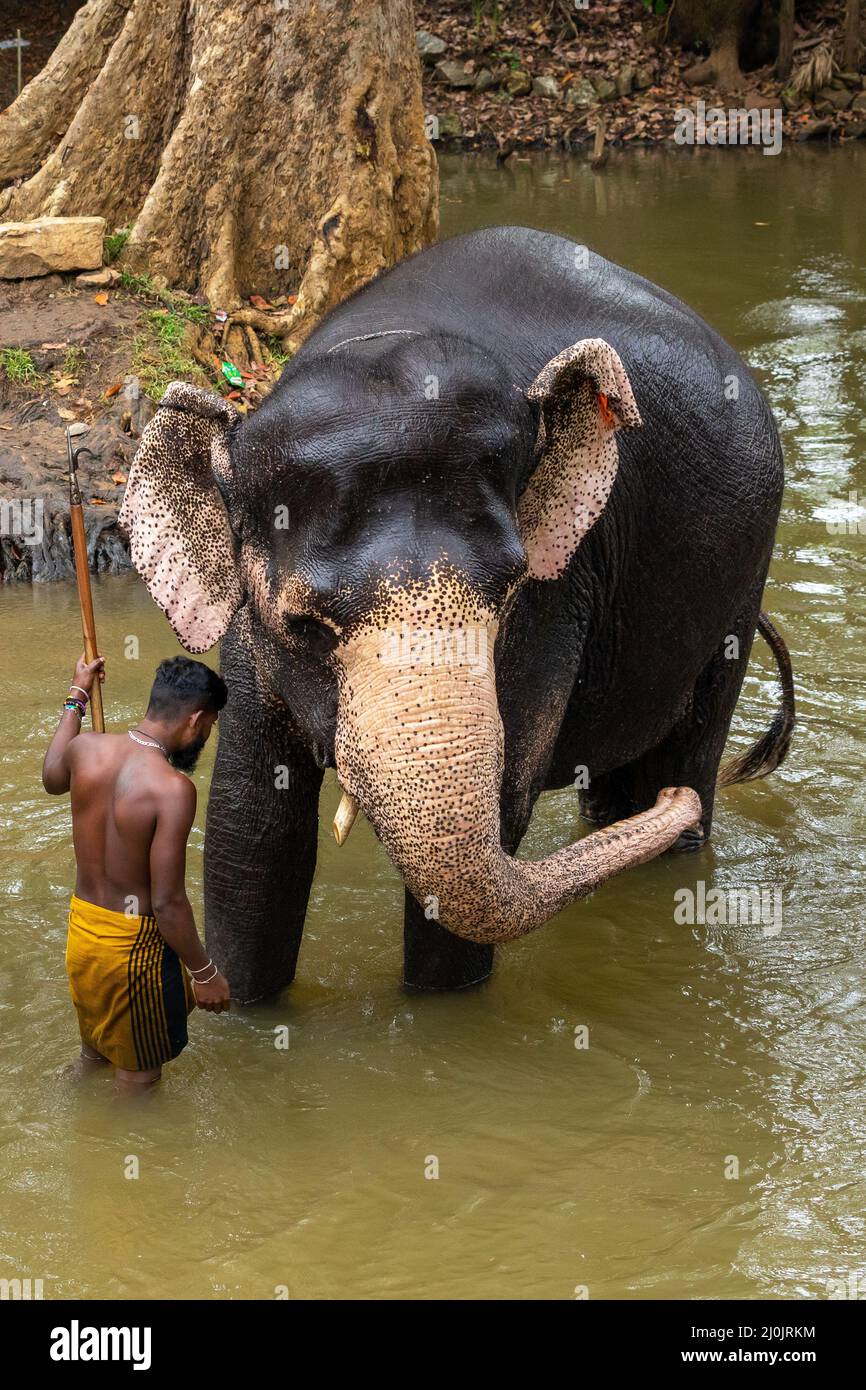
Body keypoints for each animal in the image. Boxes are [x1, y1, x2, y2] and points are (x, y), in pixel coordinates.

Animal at [119, 225, 794, 1003]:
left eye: (508, 597)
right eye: (305, 627)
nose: (673, 800)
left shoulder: (558, 600)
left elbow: (500, 814)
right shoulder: (249, 631)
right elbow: (250, 828)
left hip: (743, 578)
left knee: (689, 744)